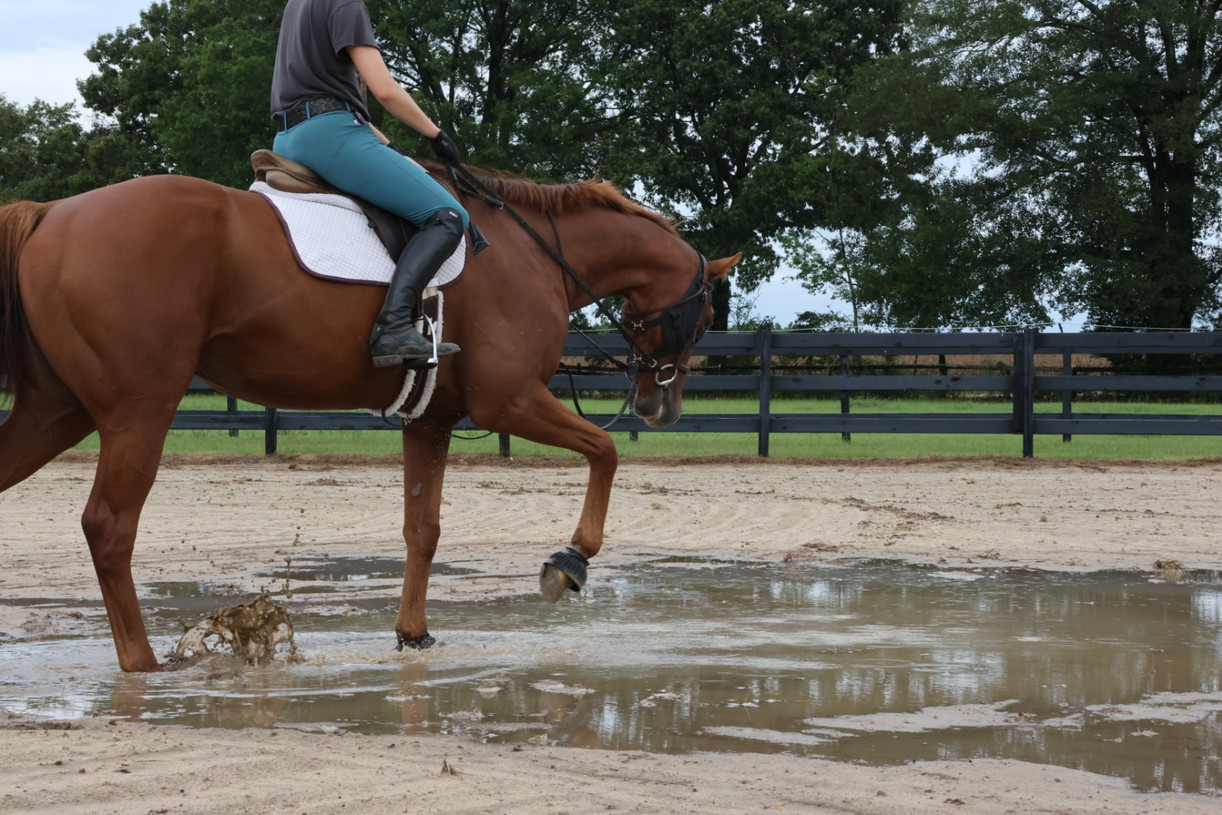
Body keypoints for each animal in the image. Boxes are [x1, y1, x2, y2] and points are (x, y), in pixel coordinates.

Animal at [0, 164, 737, 672]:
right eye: (705, 314)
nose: (661, 407)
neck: (534, 252)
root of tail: (53, 213)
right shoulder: (512, 400)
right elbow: (605, 453)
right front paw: (570, 559)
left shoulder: (431, 422)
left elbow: (423, 530)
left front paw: (413, 633)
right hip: (139, 409)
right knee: (109, 527)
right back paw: (142, 663)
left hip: (55, 410)